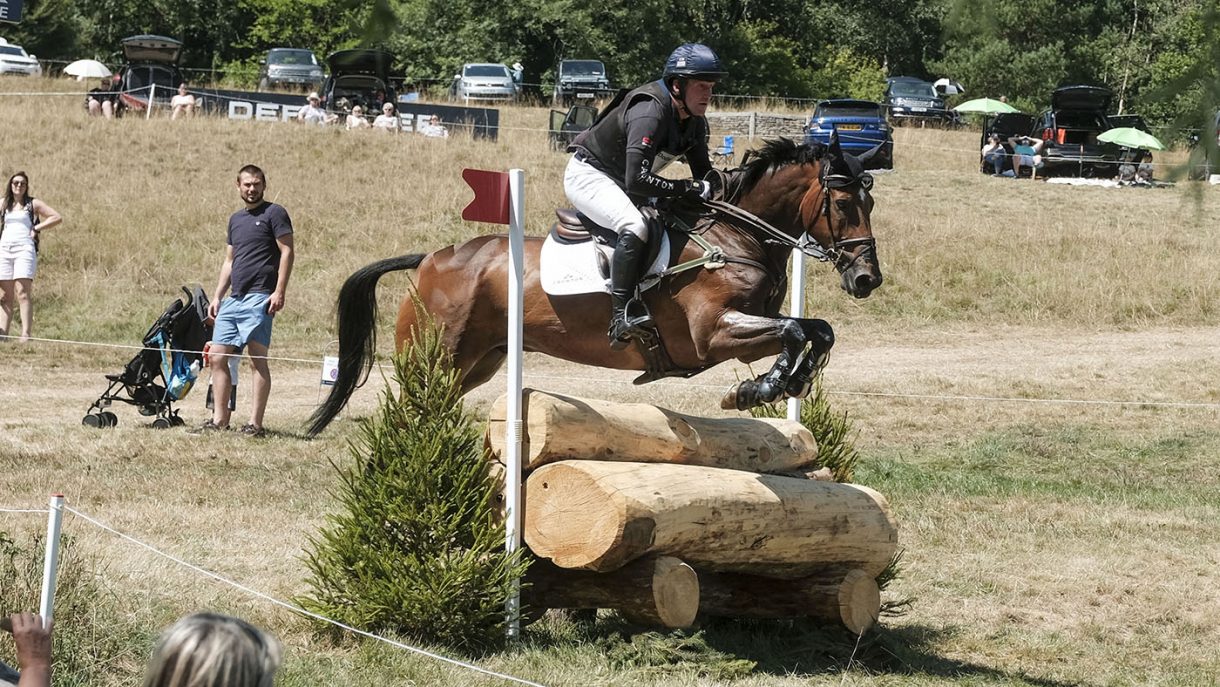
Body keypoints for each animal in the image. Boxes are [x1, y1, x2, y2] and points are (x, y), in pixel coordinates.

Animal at [307, 135, 882, 436]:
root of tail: (431, 258)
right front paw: (758, 388)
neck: (734, 233)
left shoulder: (748, 324)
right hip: (435, 358)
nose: (866, 278)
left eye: (870, 202)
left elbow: (817, 330)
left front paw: (784, 383)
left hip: (477, 362)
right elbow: (794, 332)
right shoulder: (712, 335)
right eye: (843, 204)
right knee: (409, 411)